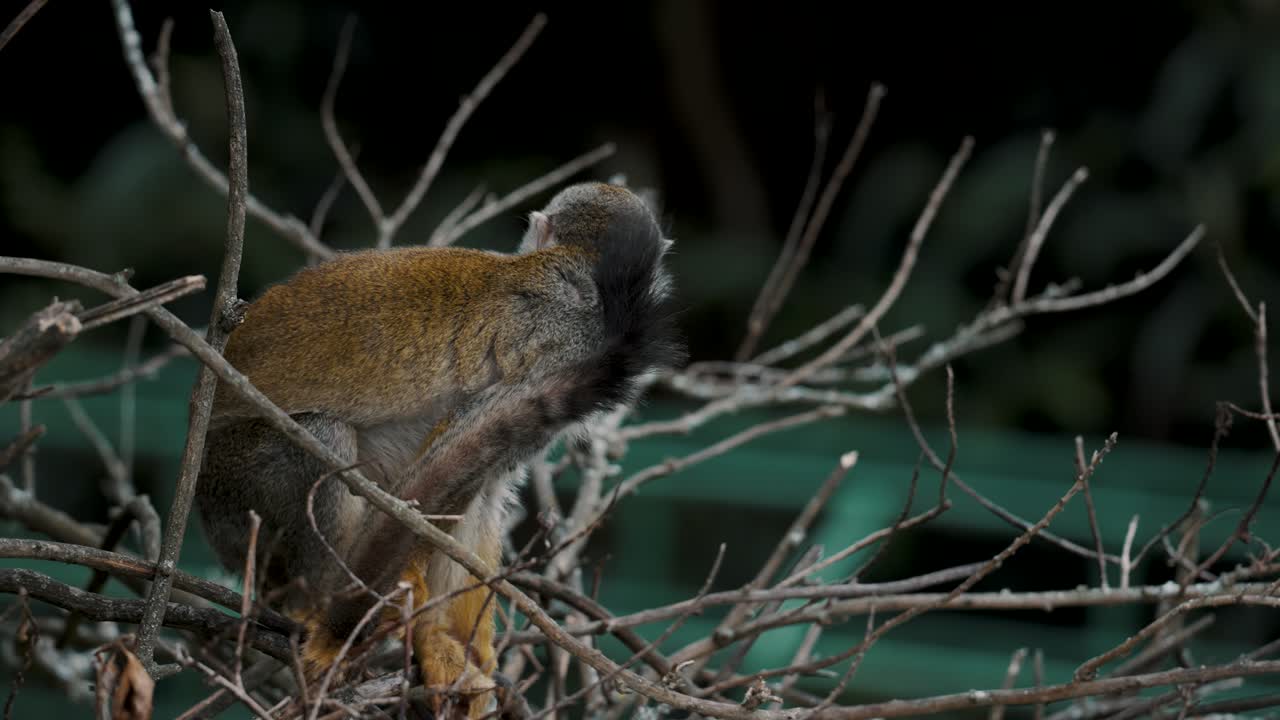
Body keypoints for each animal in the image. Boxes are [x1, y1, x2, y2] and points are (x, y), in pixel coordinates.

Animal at [194, 181, 684, 716]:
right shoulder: (562, 350)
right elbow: (447, 468)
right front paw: (421, 628)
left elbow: (477, 481)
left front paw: (461, 648)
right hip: (231, 491)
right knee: (324, 438)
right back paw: (322, 613)